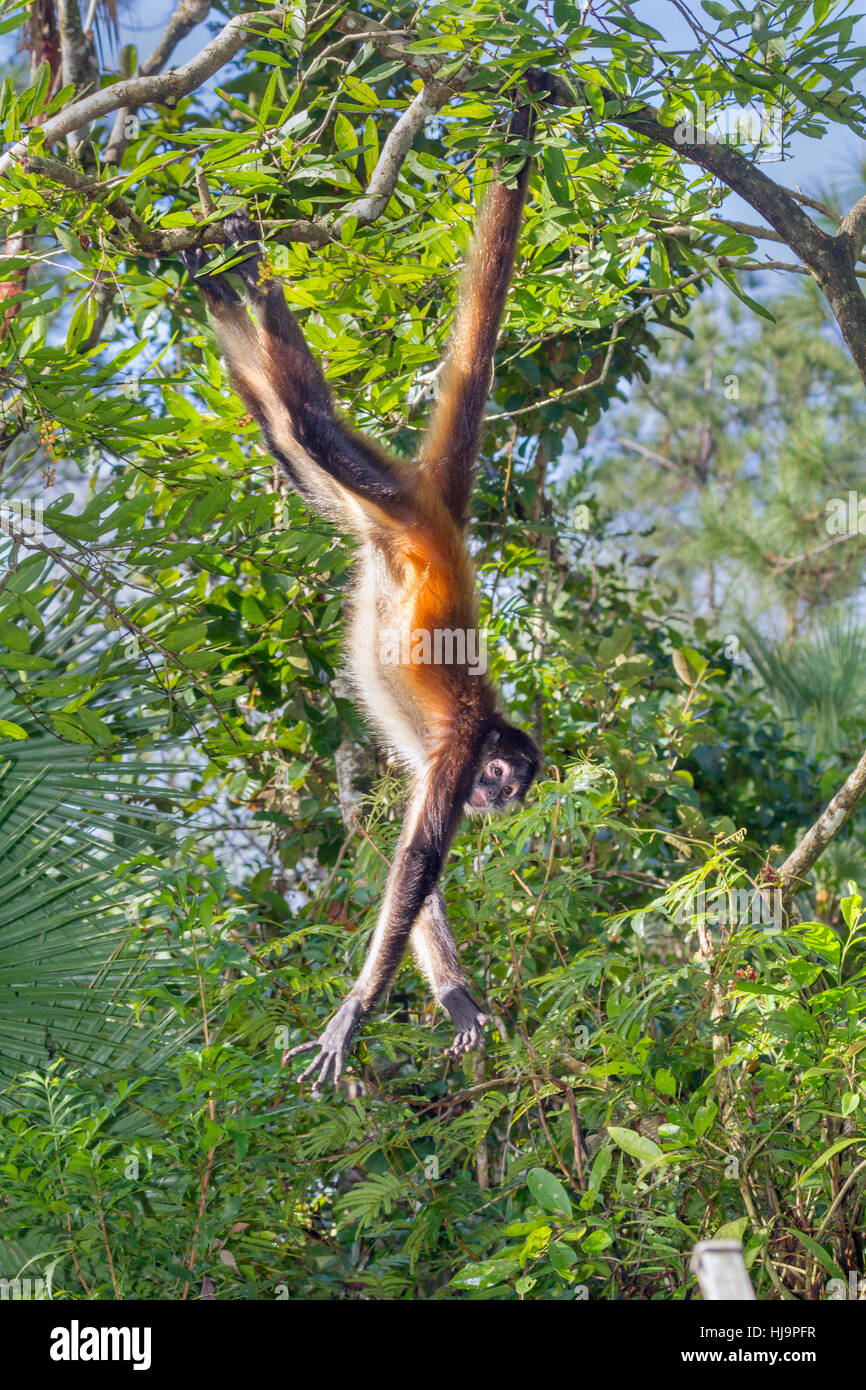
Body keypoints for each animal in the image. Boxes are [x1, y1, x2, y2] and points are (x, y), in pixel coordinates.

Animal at [181, 103, 541, 1092]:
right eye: (507, 775)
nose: (507, 800)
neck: (484, 740)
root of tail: (440, 517)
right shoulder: (459, 751)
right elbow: (417, 859)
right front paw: (356, 1010)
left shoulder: (432, 763)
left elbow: (414, 877)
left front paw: (455, 1000)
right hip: (385, 494)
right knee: (310, 419)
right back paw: (249, 272)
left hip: (367, 517)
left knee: (283, 433)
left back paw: (220, 292)